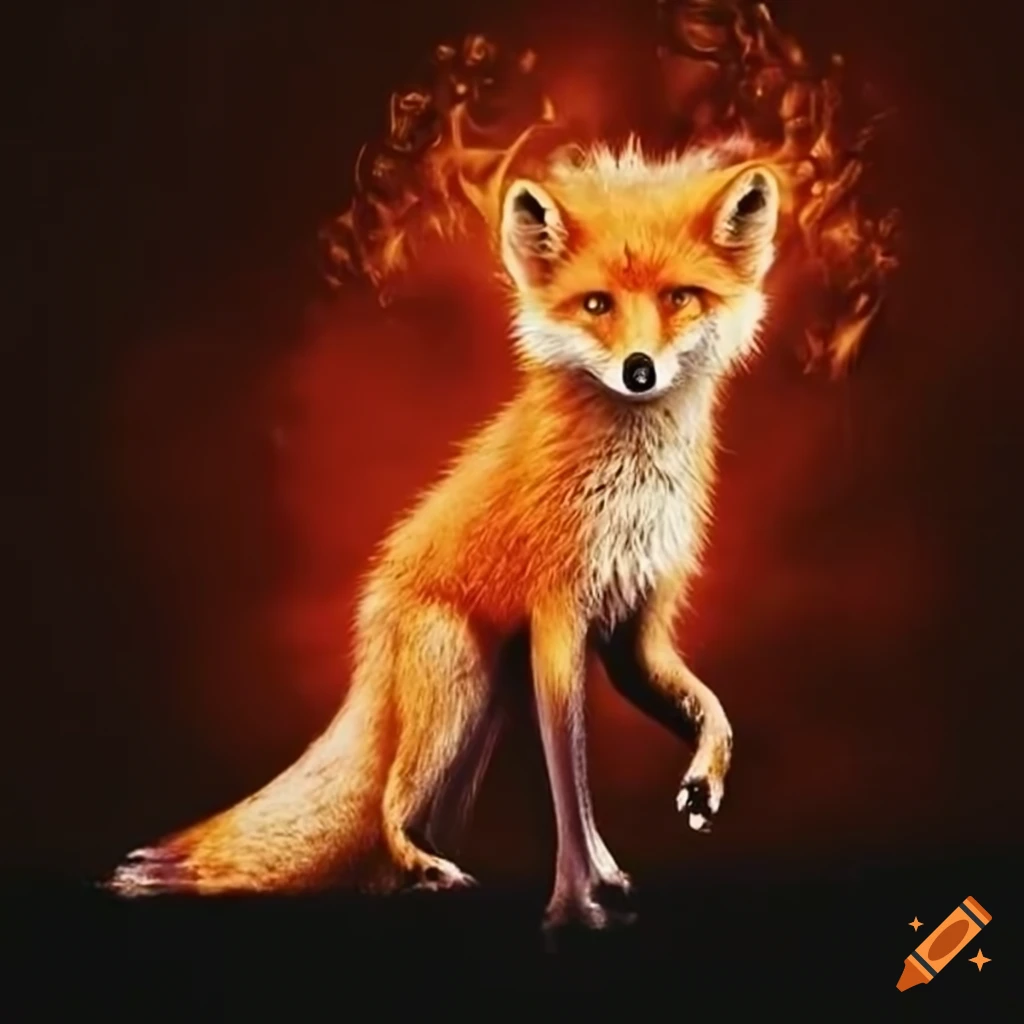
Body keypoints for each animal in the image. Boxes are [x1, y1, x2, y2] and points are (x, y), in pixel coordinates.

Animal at [107, 136, 785, 932]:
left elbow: (707, 712)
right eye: (597, 304)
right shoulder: (560, 617)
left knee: (412, 821)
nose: (639, 371)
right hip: (454, 700)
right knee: (389, 806)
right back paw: (427, 869)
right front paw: (578, 899)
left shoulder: (634, 630)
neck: (630, 486)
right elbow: (571, 781)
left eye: (680, 297)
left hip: (486, 713)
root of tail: (375, 605)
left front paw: (702, 781)